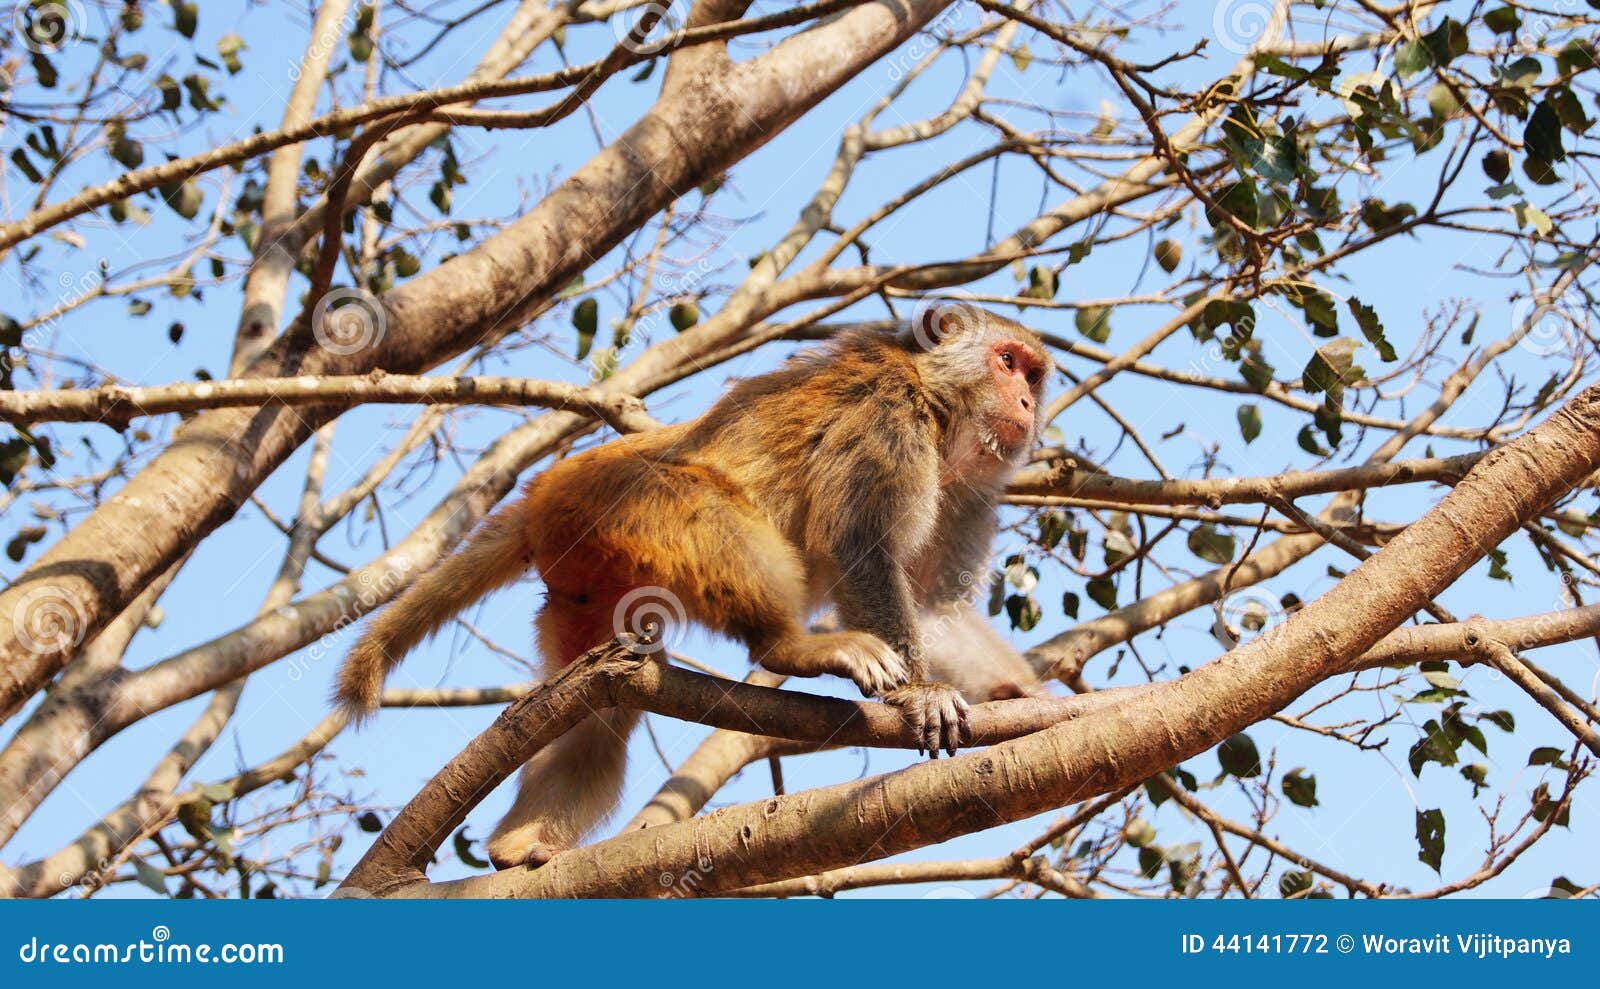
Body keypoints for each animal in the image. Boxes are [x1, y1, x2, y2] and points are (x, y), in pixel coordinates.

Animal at [333, 302, 1053, 869]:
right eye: (1006, 361)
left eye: (1034, 376)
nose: (1025, 404)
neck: (939, 412)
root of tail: (541, 497)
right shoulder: (887, 413)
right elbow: (859, 545)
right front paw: (920, 695)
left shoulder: (968, 492)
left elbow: (933, 606)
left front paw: (1021, 694)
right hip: (625, 501)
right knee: (724, 521)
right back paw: (790, 646)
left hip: (589, 585)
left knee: (600, 708)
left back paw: (520, 840)